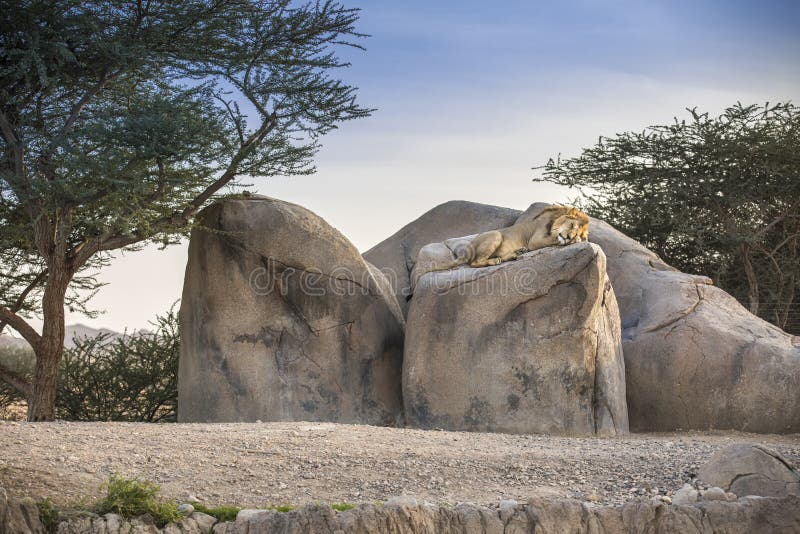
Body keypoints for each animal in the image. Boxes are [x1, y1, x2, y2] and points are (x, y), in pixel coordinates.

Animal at [452, 205, 590, 268]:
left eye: (576, 232)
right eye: (572, 225)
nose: (569, 237)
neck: (553, 220)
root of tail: (469, 247)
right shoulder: (534, 241)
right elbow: (555, 239)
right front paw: (572, 240)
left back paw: (516, 253)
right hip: (496, 234)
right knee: (474, 263)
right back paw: (495, 261)